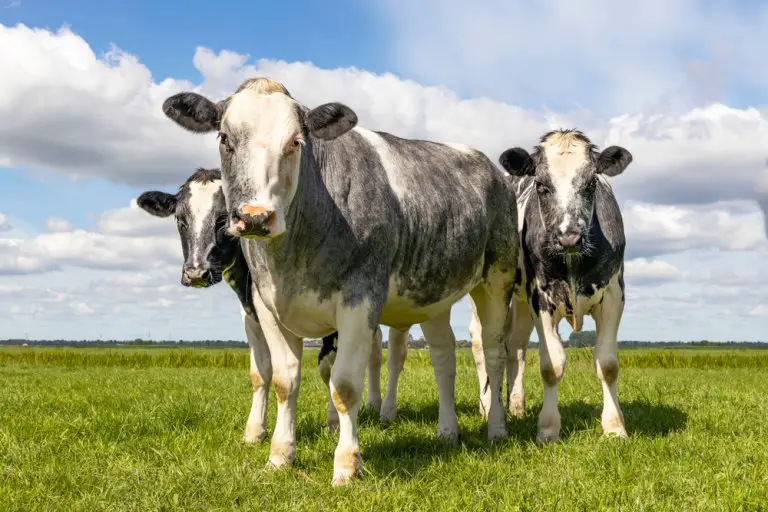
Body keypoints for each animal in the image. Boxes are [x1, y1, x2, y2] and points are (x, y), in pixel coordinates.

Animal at [135, 167, 410, 442]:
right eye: (180, 220)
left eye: (223, 219)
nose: (195, 273)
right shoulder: (253, 314)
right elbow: (261, 371)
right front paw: (255, 430)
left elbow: (329, 369)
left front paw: (333, 423)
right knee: (375, 351)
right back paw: (373, 404)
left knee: (395, 357)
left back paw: (387, 410)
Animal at [494, 129, 632, 444]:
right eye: (541, 185)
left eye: (591, 183)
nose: (568, 236)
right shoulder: (541, 297)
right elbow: (551, 366)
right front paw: (547, 429)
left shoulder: (614, 295)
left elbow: (608, 365)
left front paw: (614, 427)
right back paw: (488, 410)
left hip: (521, 302)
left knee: (514, 345)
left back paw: (516, 406)